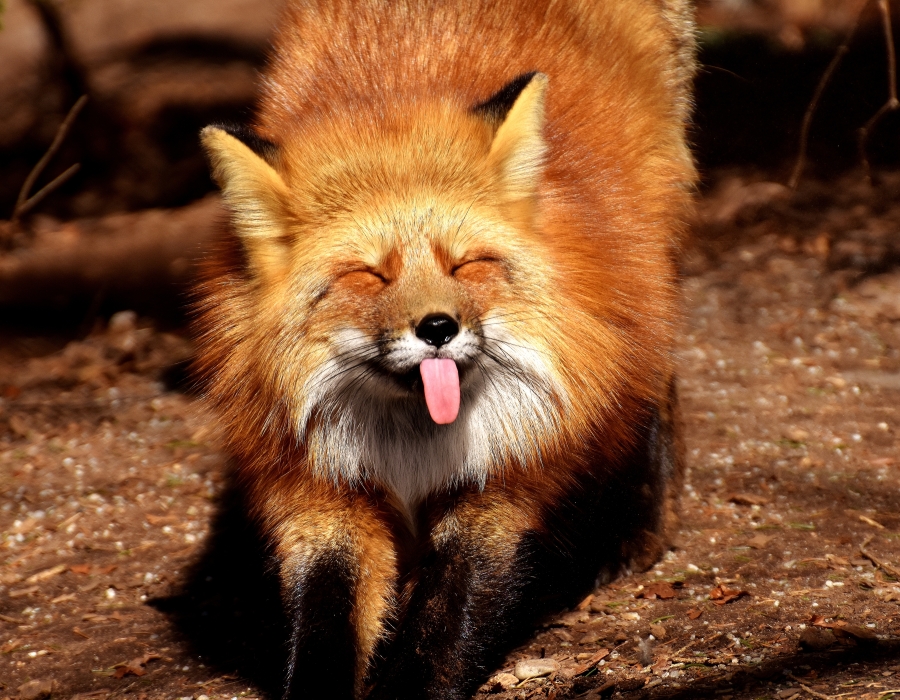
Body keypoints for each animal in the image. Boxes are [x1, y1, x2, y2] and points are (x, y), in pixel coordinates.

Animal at [193, 0, 696, 698]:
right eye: (370, 275)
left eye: (464, 264)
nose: (437, 327)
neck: (413, 446)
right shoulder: (321, 492)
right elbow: (324, 617)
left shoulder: (502, 483)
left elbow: (446, 624)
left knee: (657, 373)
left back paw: (637, 529)